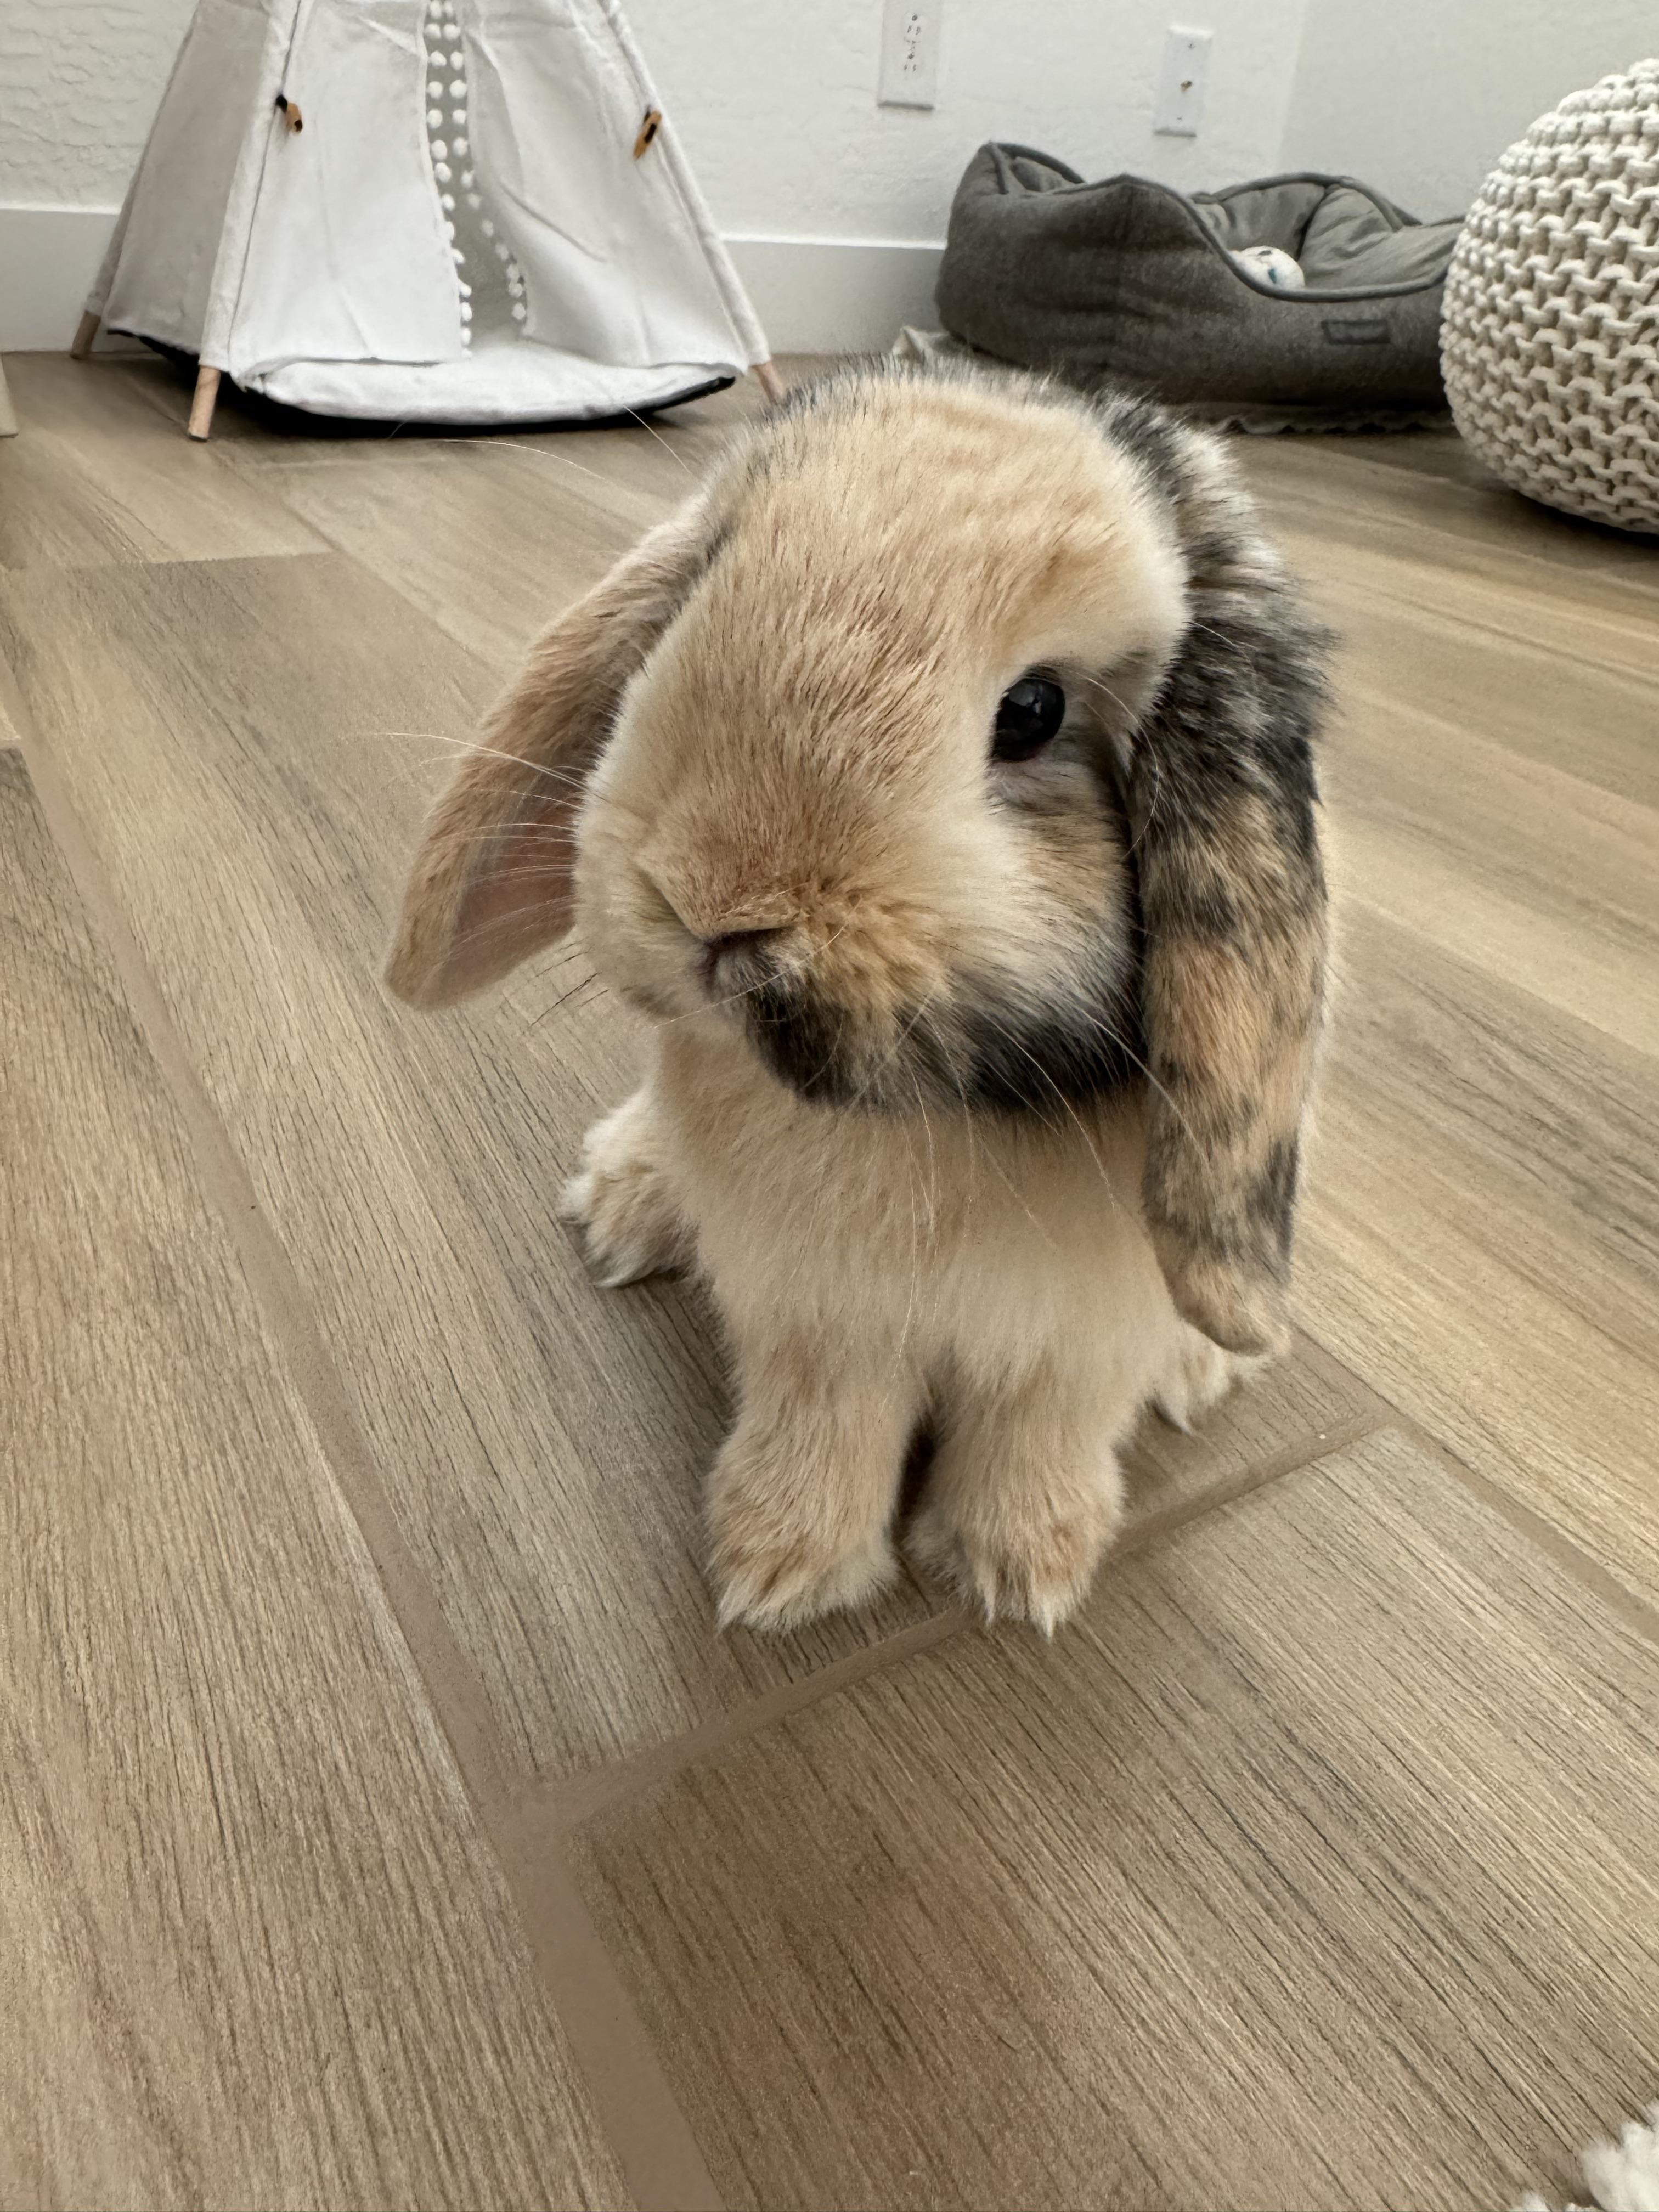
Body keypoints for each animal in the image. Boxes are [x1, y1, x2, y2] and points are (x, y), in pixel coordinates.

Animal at [386, 361, 1329, 1635]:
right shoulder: (812, 1317)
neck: (926, 1110)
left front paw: (1021, 1570)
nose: (712, 905)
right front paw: (778, 1570)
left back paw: (1207, 1367)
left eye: (1033, 711)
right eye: (700, 590)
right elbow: (822, 1425)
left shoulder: (1078, 1339)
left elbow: (1042, 1431)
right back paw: (628, 1202)